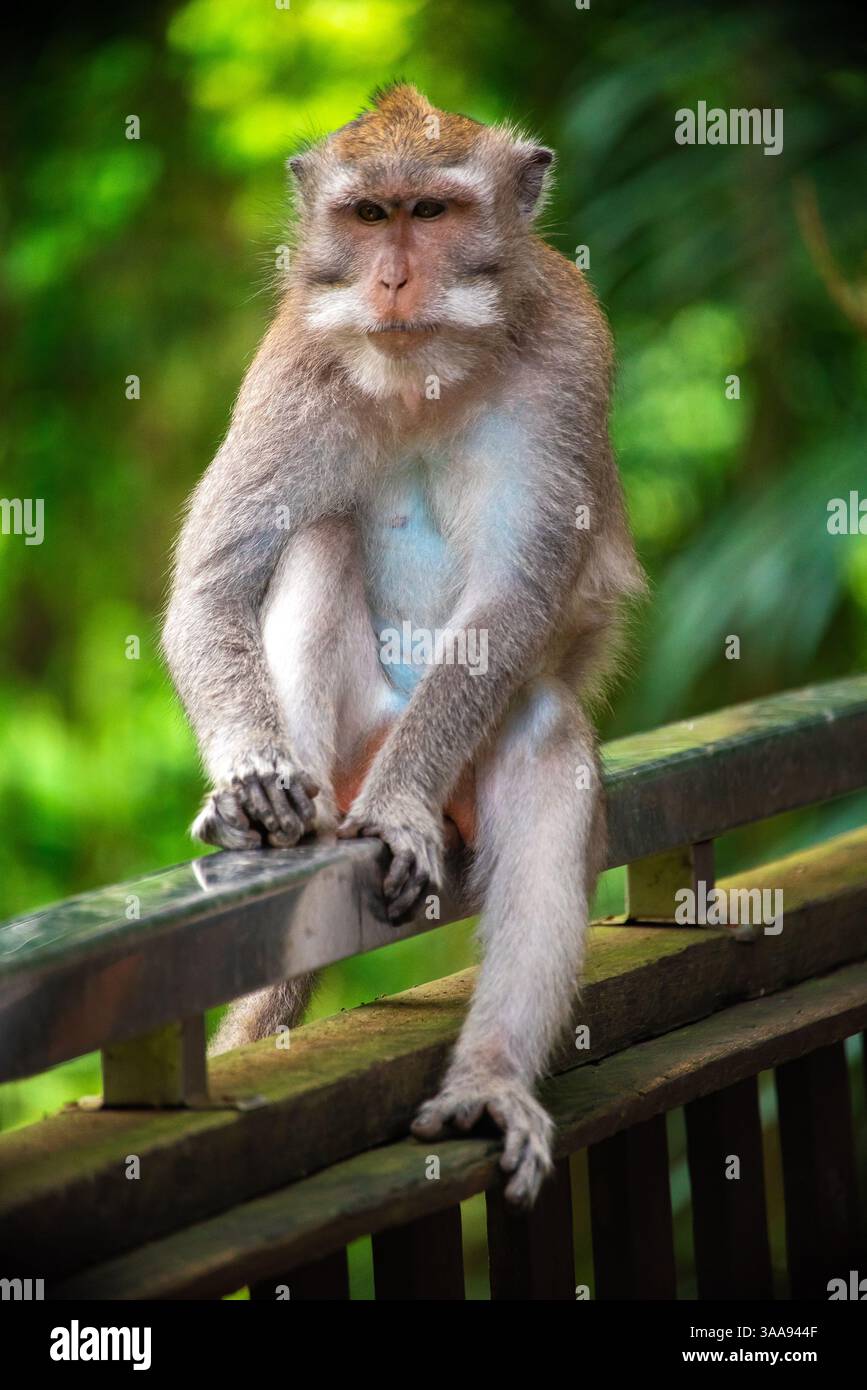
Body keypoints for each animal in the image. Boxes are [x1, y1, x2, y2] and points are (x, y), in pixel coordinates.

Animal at [162, 83, 645, 1206]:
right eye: (368, 216)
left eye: (431, 212)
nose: (390, 281)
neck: (427, 369)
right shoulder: (291, 361)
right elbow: (214, 582)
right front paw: (250, 783)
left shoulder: (569, 359)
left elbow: (516, 603)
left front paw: (397, 811)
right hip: (348, 739)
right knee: (317, 538)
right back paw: (287, 818)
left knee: (544, 740)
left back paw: (488, 1079)